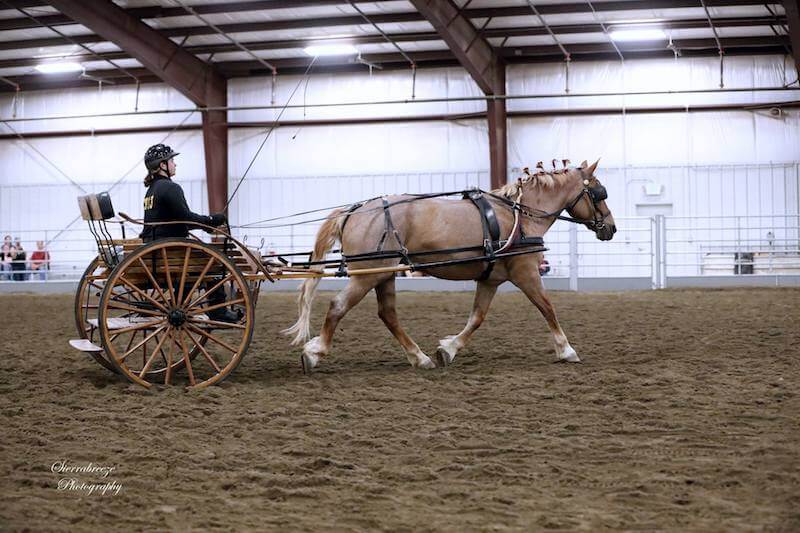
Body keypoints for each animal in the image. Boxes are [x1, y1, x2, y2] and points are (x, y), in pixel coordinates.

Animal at [283, 159, 616, 372]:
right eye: (599, 192)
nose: (611, 228)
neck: (519, 216)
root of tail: (355, 209)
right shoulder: (526, 272)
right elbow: (547, 307)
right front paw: (567, 350)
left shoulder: (490, 279)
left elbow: (477, 317)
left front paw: (449, 348)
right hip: (368, 275)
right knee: (338, 306)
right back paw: (315, 353)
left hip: (384, 274)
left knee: (388, 314)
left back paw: (419, 357)